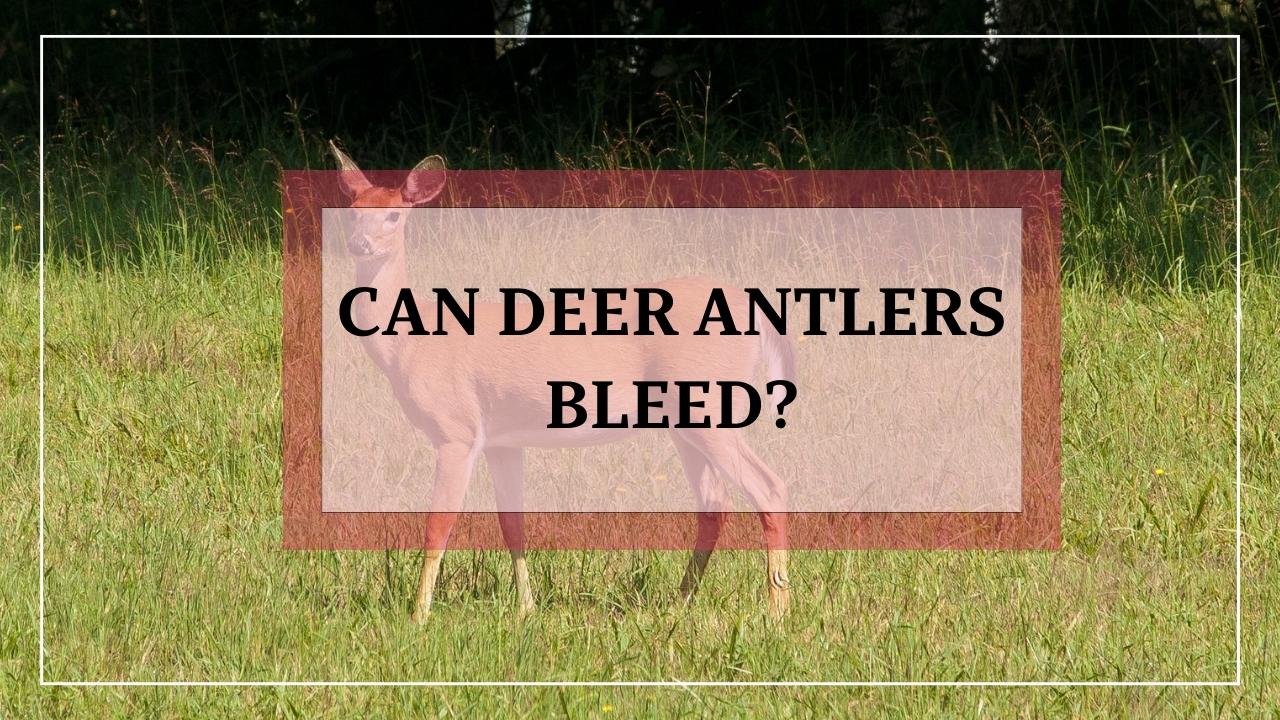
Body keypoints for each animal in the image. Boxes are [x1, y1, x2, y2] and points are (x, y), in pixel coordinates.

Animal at [328, 142, 795, 621]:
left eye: (393, 215)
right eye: (352, 211)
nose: (359, 244)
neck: (410, 345)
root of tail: (758, 313)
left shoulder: (455, 430)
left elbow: (438, 524)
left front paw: (418, 616)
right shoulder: (502, 441)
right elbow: (512, 523)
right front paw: (526, 609)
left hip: (710, 404)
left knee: (768, 487)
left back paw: (777, 611)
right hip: (685, 419)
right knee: (714, 503)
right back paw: (679, 603)